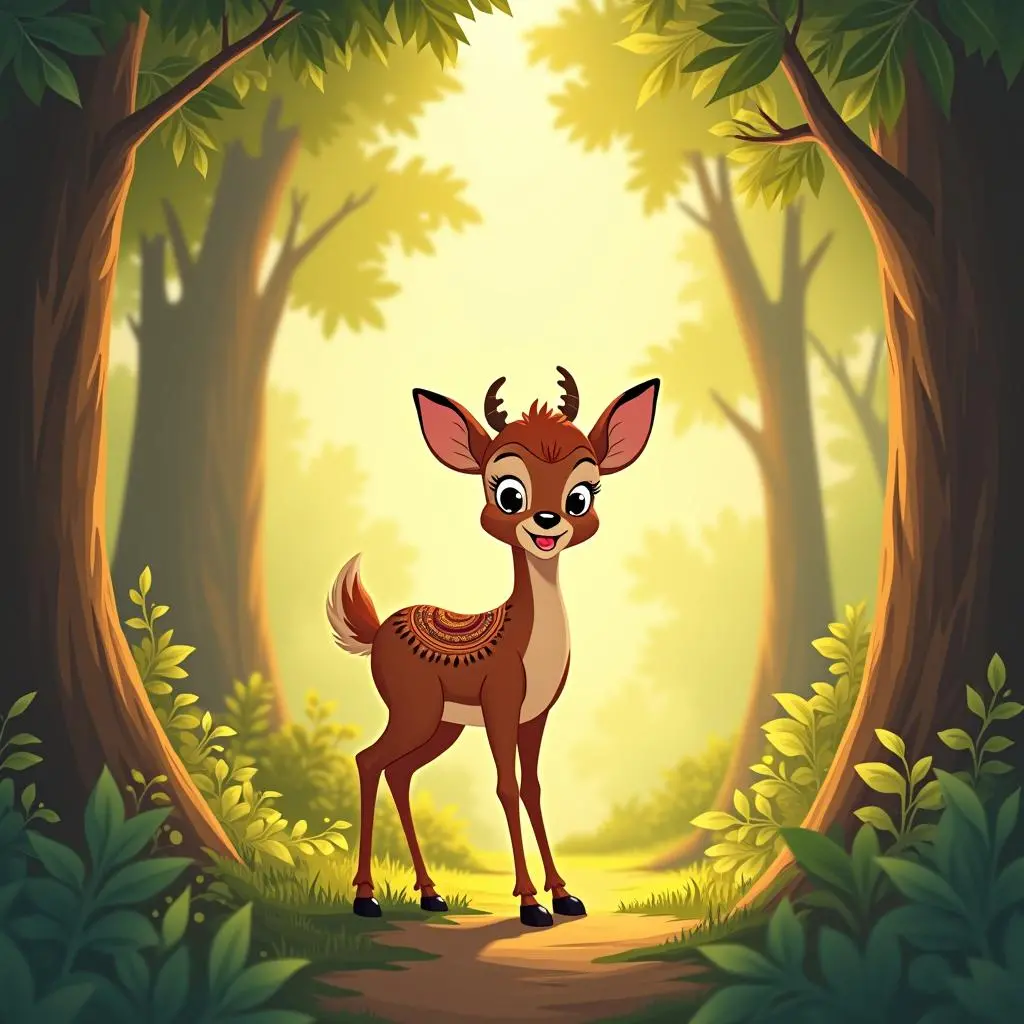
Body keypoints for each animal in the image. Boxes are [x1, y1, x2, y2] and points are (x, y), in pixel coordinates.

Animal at [325, 368, 660, 927]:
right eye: (508, 493)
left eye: (581, 495)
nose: (546, 522)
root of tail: (375, 630)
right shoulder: (501, 705)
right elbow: (505, 788)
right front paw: (530, 903)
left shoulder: (535, 715)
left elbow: (533, 788)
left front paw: (565, 895)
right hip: (416, 711)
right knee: (369, 760)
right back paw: (367, 898)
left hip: (443, 725)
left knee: (399, 772)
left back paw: (431, 894)